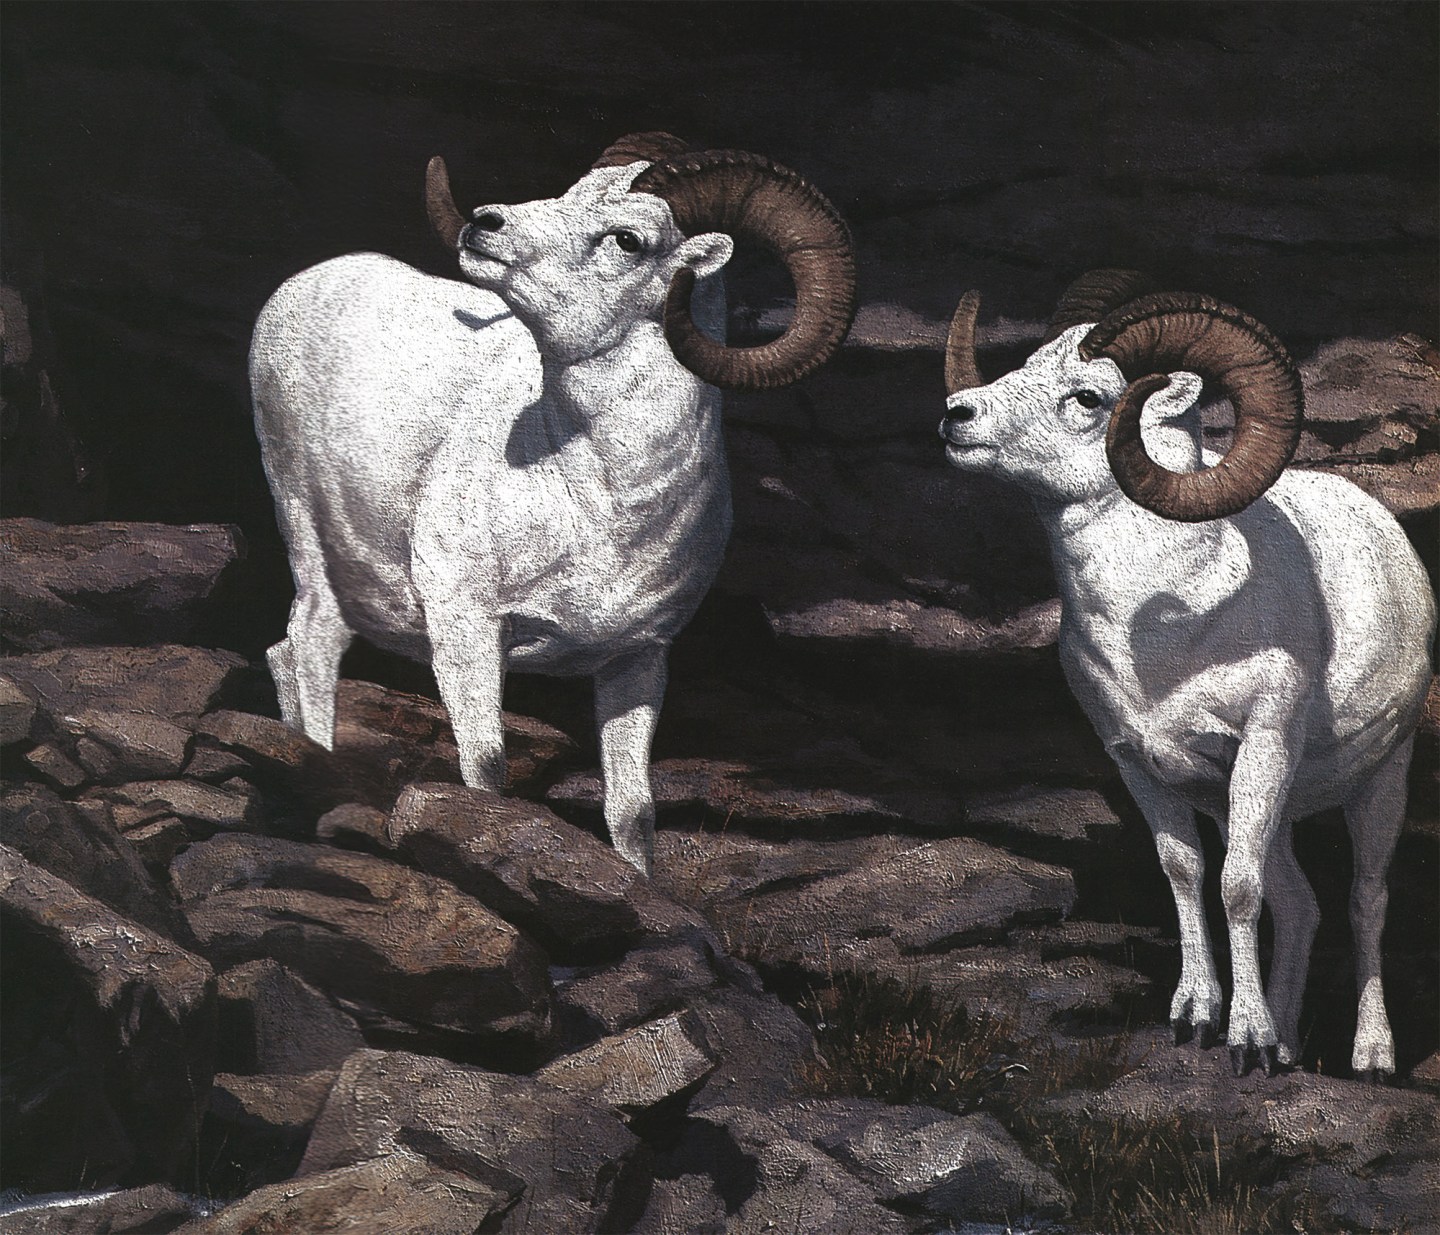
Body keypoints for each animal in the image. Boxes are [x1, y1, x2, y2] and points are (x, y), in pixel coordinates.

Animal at [250, 132, 856, 873]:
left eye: (627, 238)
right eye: (567, 194)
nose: (484, 223)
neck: (599, 509)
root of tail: (304, 286)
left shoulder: (638, 662)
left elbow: (632, 811)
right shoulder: (467, 629)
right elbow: (485, 769)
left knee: (289, 653)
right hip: (309, 540)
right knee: (310, 648)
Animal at [938, 270, 1436, 1079]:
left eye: (1087, 397)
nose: (957, 416)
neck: (1163, 630)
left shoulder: (1261, 746)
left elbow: (1237, 886)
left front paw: (1245, 1038)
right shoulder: (1141, 764)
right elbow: (1186, 871)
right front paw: (1201, 1017)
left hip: (1380, 781)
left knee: (1366, 901)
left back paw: (1369, 1055)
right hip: (1261, 805)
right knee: (1300, 903)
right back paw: (1289, 1047)